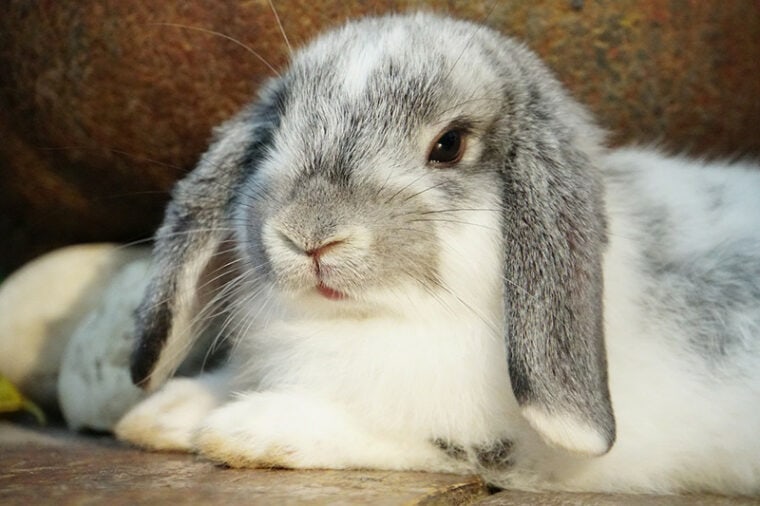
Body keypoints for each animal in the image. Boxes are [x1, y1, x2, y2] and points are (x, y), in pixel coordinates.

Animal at [114, 12, 760, 495]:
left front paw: (246, 430)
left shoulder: (499, 442)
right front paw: (162, 416)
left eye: (449, 146)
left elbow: (409, 435)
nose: (309, 235)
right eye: (273, 135)